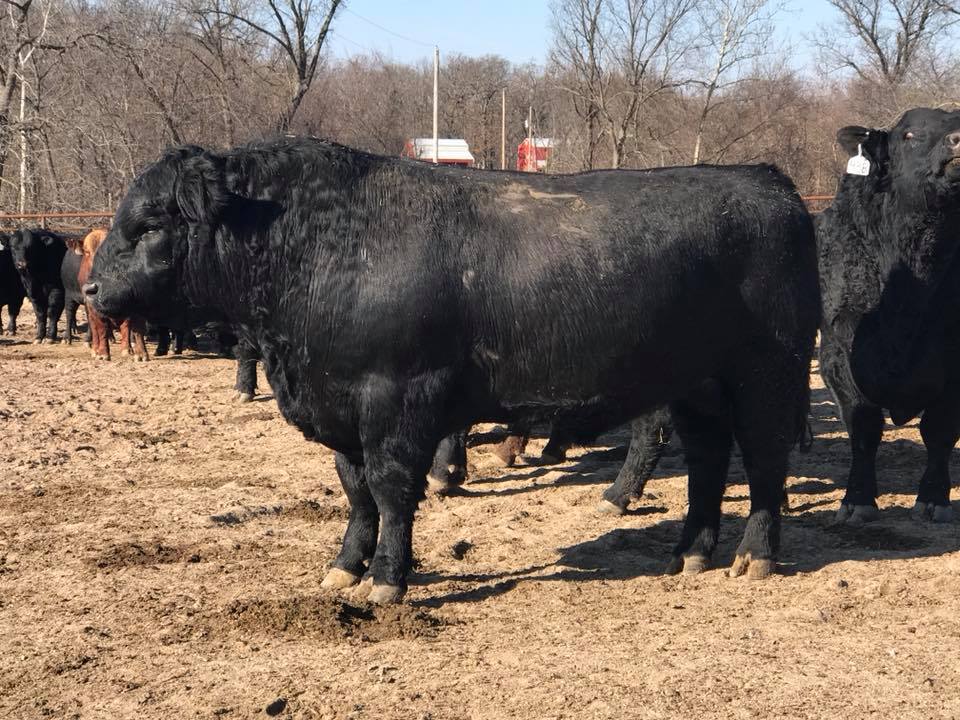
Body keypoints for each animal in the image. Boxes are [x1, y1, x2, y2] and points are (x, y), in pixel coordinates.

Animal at [76, 228, 148, 361]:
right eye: (87, 252)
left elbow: (133, 326)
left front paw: (138, 352)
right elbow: (102, 328)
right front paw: (103, 353)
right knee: (94, 327)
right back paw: (96, 349)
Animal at [85, 138, 819, 604]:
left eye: (147, 223)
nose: (91, 290)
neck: (325, 246)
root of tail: (767, 180)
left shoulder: (396, 401)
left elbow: (390, 491)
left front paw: (389, 578)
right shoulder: (344, 408)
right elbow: (355, 492)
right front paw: (345, 567)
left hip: (767, 375)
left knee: (762, 463)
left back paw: (754, 557)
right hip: (698, 385)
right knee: (707, 461)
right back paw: (690, 553)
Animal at [818, 107, 960, 525]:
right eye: (909, 134)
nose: (957, 140)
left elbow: (940, 429)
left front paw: (935, 498)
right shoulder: (837, 354)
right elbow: (863, 428)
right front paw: (857, 500)